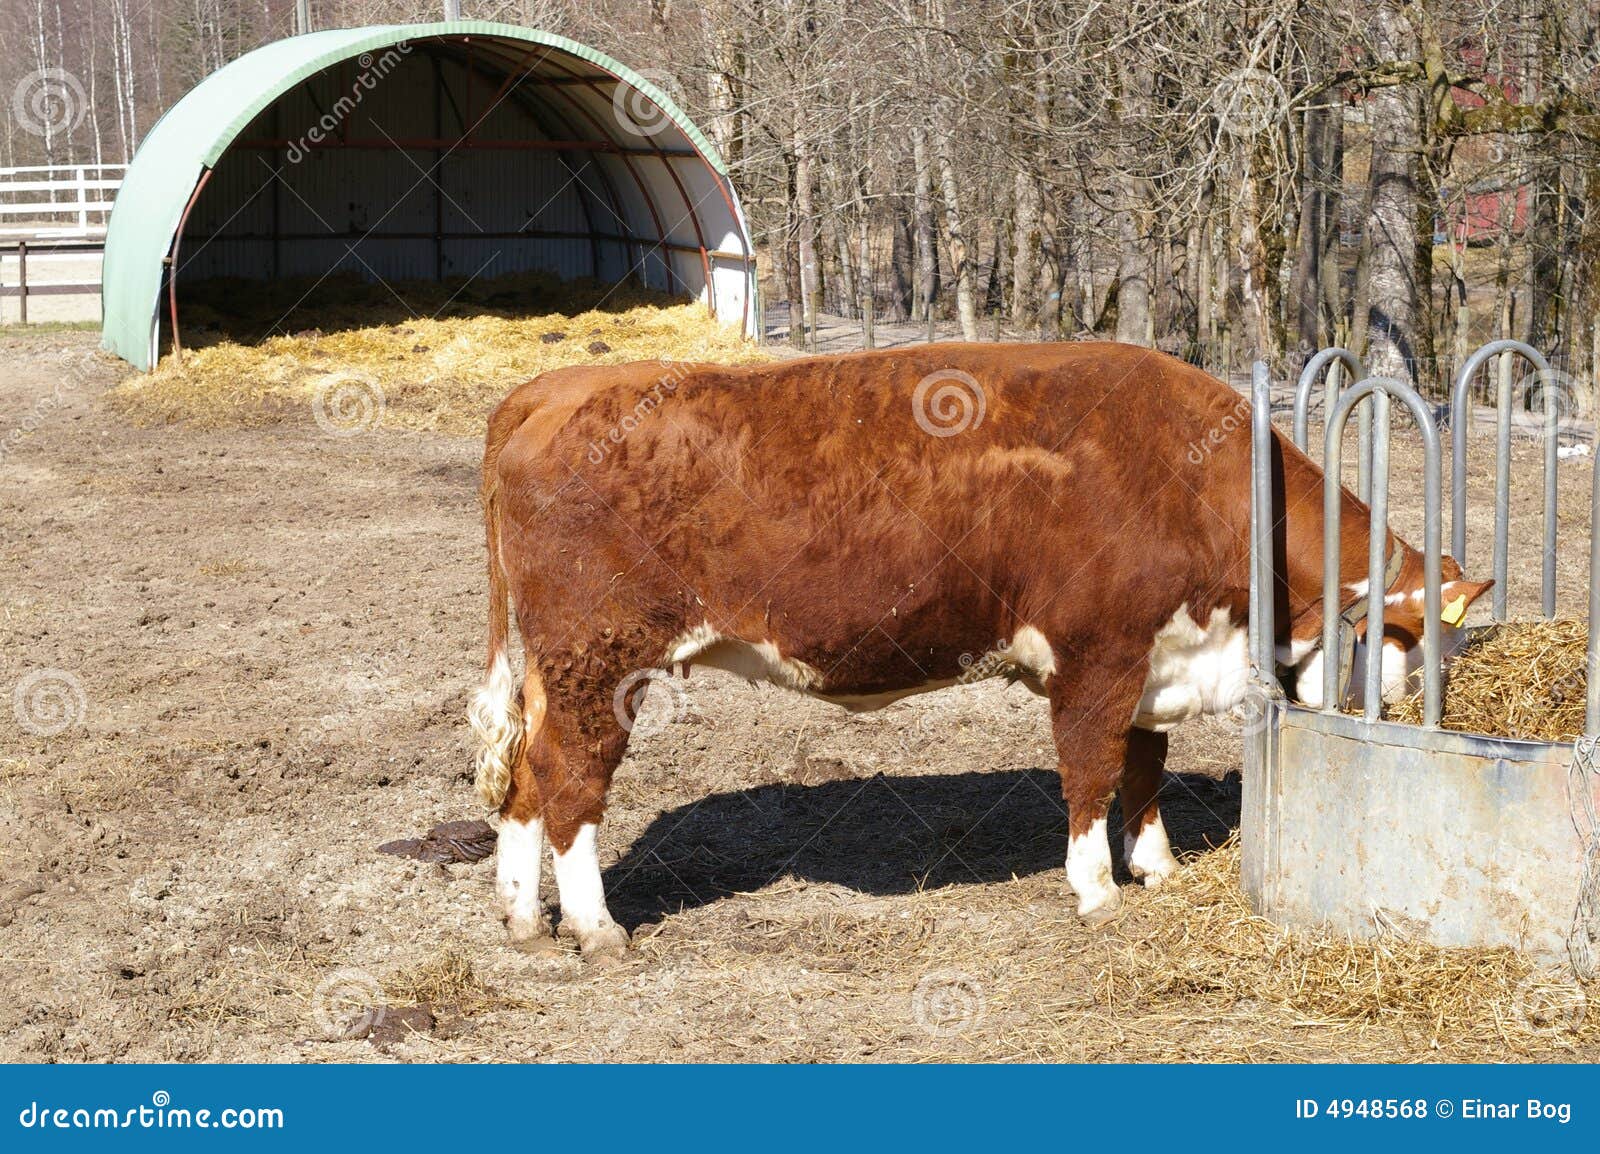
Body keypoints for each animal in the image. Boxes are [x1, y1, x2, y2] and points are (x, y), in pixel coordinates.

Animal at [467, 342, 1491, 958]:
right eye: (1411, 638)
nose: (1401, 711)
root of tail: (548, 389)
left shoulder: (1155, 654)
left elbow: (1146, 765)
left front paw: (1155, 864)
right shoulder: (1097, 655)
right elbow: (1091, 770)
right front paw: (1096, 887)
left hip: (555, 669)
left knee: (524, 778)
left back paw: (521, 917)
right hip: (600, 661)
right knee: (571, 782)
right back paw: (595, 926)